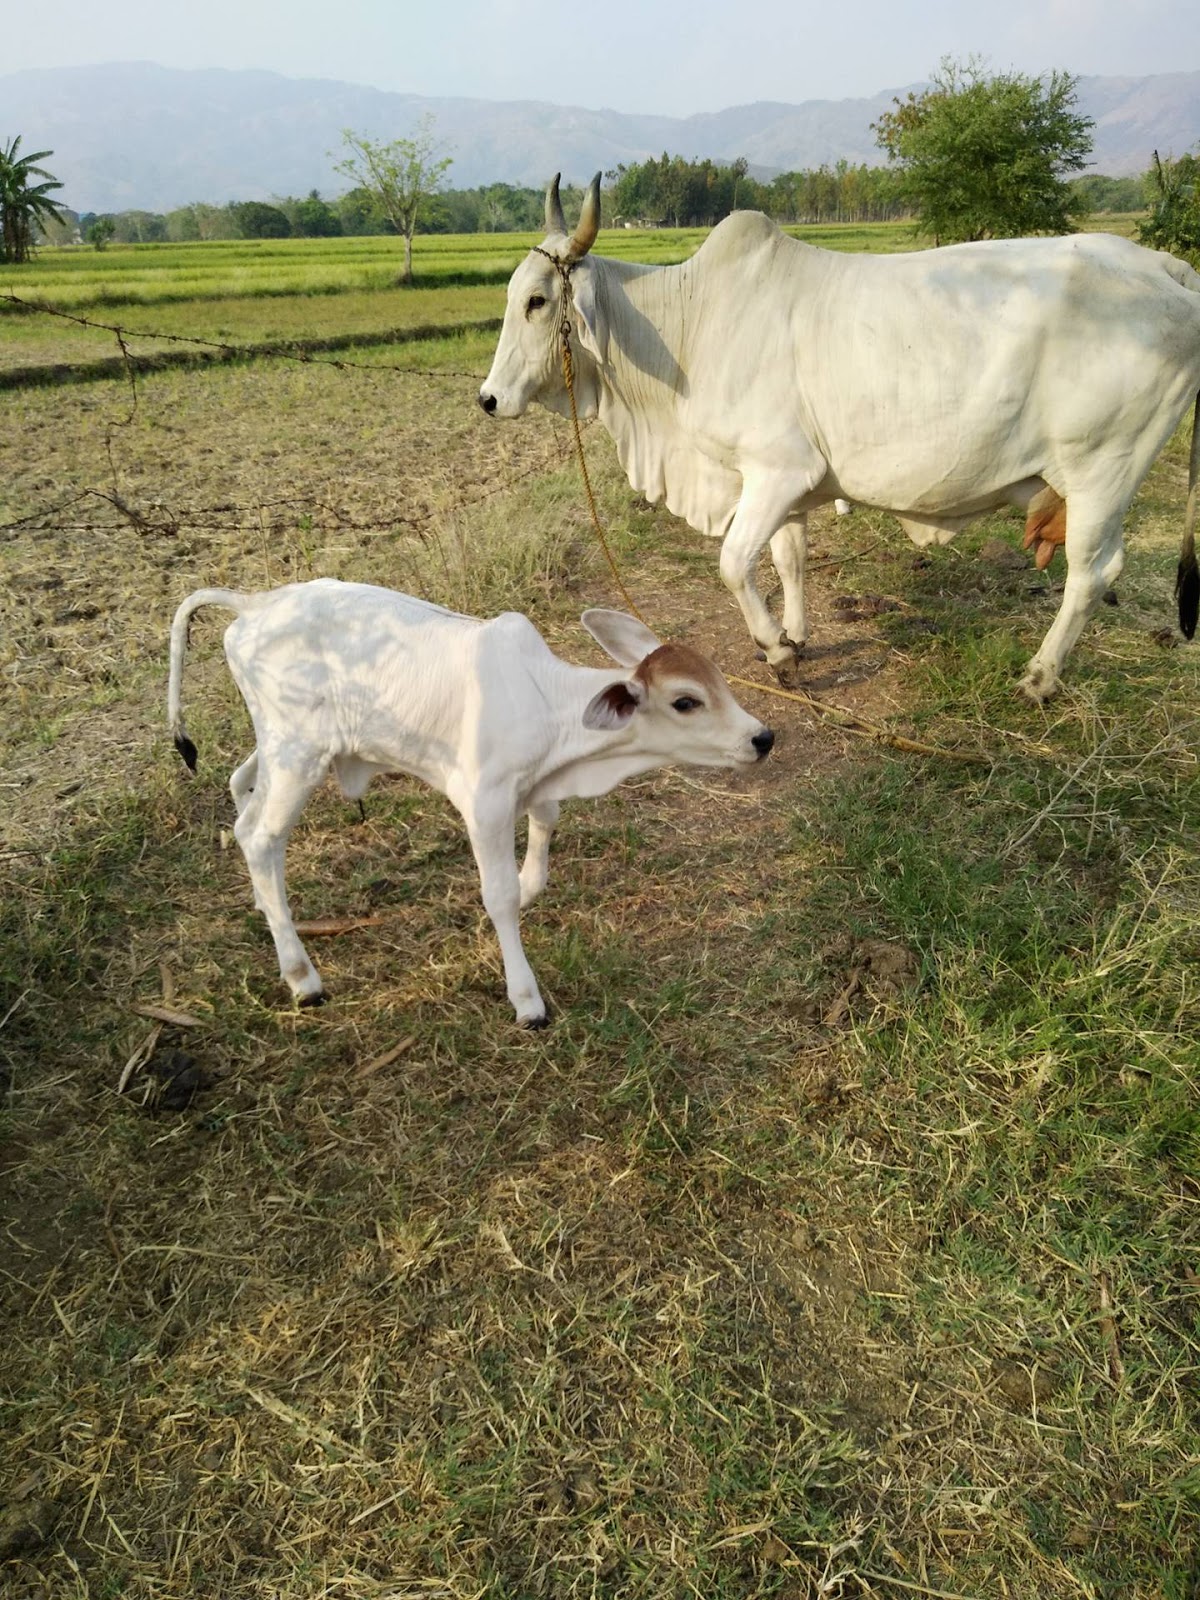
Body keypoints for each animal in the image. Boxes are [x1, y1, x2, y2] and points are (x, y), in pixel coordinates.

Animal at [167, 580, 773, 1025]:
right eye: (685, 702)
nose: (761, 738)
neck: (550, 710)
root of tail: (257, 604)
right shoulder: (484, 802)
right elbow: (498, 896)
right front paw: (526, 999)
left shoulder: (531, 789)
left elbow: (545, 825)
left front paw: (532, 884)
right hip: (298, 755)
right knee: (260, 836)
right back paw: (301, 975)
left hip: (277, 747)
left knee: (240, 792)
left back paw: (263, 905)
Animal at [479, 173, 1200, 701]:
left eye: (537, 301)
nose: (488, 399)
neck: (689, 325)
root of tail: (1164, 268)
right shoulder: (781, 482)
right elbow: (788, 558)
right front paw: (796, 639)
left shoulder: (779, 470)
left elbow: (735, 562)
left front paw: (775, 648)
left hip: (1102, 470)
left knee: (1091, 571)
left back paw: (1040, 678)